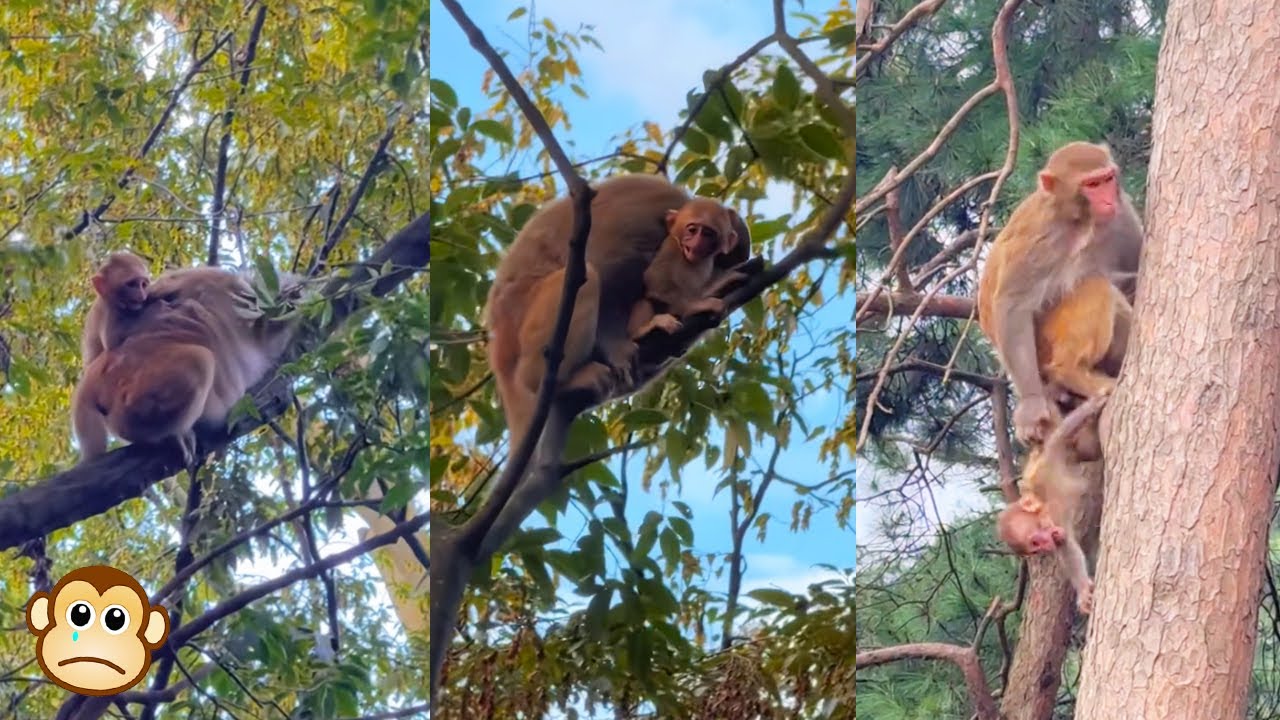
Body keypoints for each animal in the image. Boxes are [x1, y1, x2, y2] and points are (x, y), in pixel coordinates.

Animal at [627, 197, 743, 339]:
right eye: (692, 230)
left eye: (708, 234)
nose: (697, 243)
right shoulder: (672, 246)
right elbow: (656, 281)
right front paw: (697, 306)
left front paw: (728, 279)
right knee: (645, 300)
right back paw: (644, 329)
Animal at [977, 141, 1144, 446]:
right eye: (1091, 184)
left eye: (1107, 179)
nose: (1108, 201)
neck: (1081, 223)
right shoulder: (1040, 233)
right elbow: (1013, 305)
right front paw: (1032, 404)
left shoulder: (1123, 215)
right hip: (1044, 346)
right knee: (1096, 286)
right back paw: (1069, 372)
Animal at [996, 393, 1108, 614]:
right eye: (1035, 547)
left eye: (1035, 541)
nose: (1045, 546)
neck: (1044, 504)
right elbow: (1067, 547)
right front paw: (1083, 590)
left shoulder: (1049, 467)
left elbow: (1061, 436)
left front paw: (1093, 405)